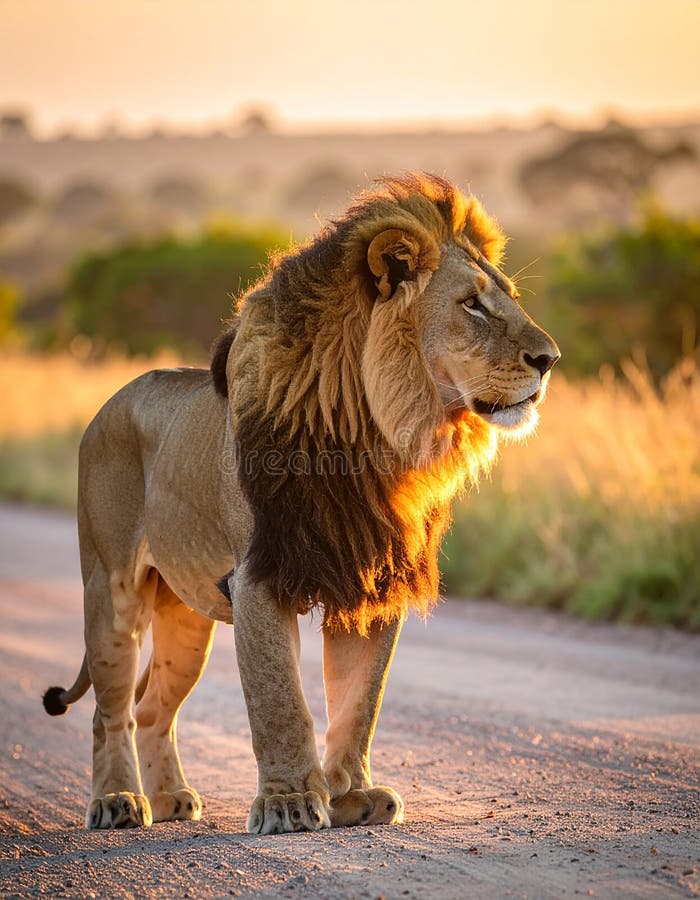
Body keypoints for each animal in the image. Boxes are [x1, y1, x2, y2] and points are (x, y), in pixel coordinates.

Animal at [42, 173, 559, 833]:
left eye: (509, 298)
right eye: (471, 304)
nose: (550, 359)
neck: (372, 440)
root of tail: (107, 405)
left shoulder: (371, 578)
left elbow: (360, 700)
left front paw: (352, 796)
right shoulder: (259, 577)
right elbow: (281, 700)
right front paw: (288, 802)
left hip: (186, 619)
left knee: (153, 705)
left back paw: (171, 797)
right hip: (112, 590)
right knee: (110, 710)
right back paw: (117, 801)